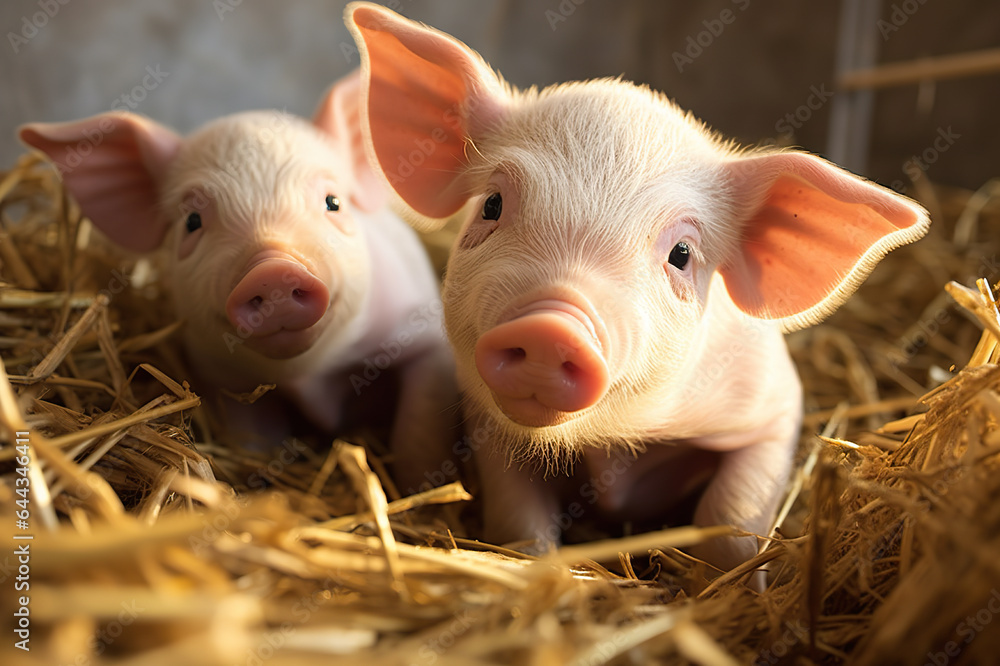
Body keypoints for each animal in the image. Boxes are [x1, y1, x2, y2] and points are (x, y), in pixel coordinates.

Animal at [18, 71, 456, 487]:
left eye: (333, 202)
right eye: (192, 221)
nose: (272, 270)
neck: (307, 374)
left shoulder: (423, 338)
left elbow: (419, 434)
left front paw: (422, 491)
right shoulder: (226, 381)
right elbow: (254, 443)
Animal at [344, 2, 930, 580]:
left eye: (683, 254)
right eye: (492, 204)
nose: (550, 326)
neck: (610, 445)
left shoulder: (775, 409)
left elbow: (731, 515)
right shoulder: (492, 424)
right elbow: (520, 517)